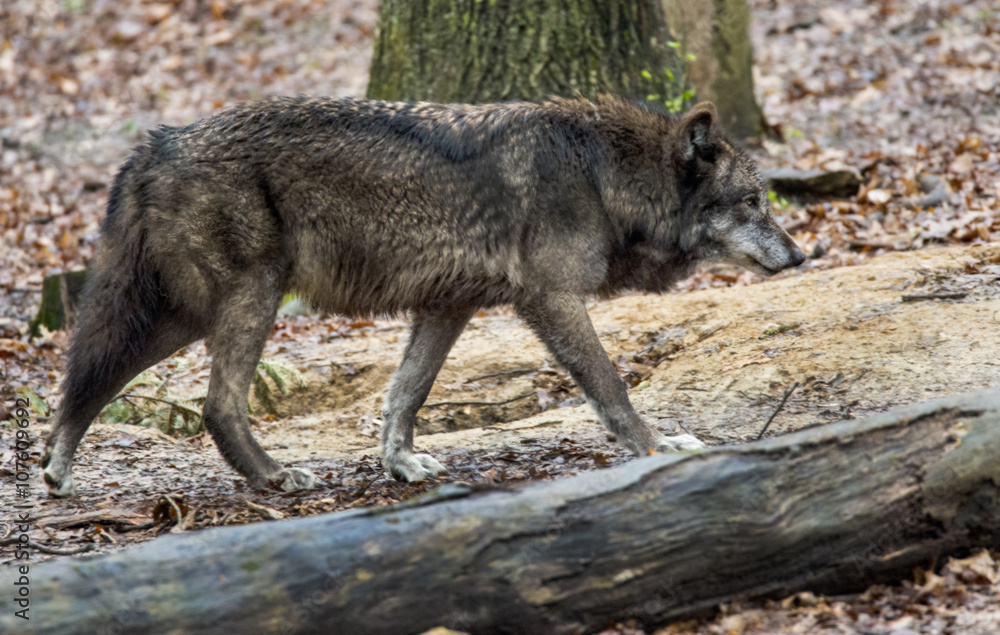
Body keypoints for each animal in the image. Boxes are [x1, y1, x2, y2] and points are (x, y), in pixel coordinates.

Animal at [41, 95, 805, 497]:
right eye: (753, 202)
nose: (802, 254)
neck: (602, 175)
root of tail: (156, 142)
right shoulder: (549, 298)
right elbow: (610, 386)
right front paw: (656, 445)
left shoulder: (448, 306)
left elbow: (405, 394)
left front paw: (400, 464)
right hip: (243, 300)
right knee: (215, 403)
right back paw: (275, 476)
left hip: (186, 313)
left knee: (90, 375)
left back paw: (55, 468)